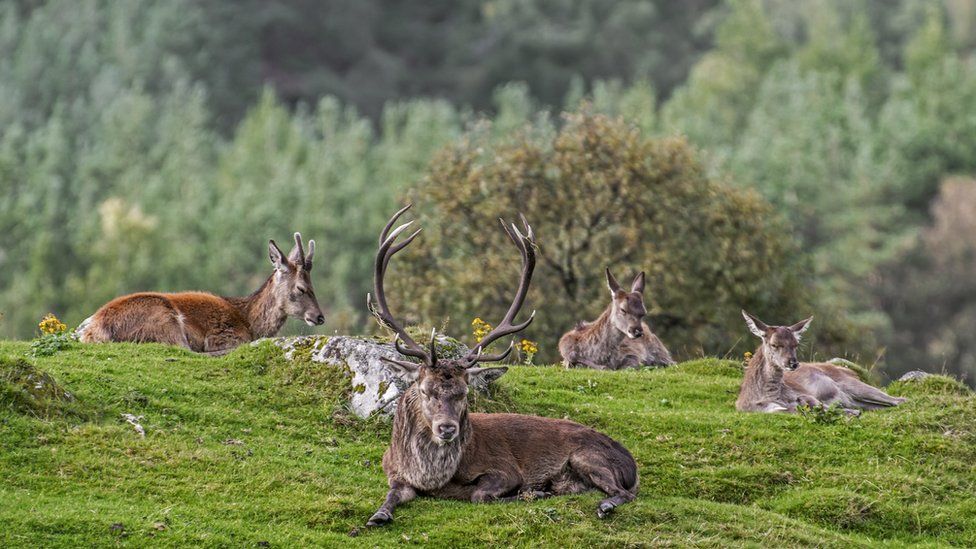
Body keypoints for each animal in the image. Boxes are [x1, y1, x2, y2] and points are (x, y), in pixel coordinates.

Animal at [77, 233, 324, 355]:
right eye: (301, 288)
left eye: (313, 285)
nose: (320, 316)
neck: (251, 323)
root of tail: (95, 331)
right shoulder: (223, 336)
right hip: (164, 318)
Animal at [364, 205, 639, 527]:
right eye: (424, 390)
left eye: (464, 393)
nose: (447, 428)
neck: (431, 479)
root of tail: (632, 465)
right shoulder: (393, 471)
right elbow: (391, 495)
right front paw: (378, 515)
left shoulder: (504, 469)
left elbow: (479, 494)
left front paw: (532, 492)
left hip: (587, 456)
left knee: (624, 492)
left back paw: (599, 503)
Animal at [737, 310, 906, 414]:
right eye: (774, 344)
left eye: (795, 344)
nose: (793, 363)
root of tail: (851, 371)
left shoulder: (806, 395)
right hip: (854, 399)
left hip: (852, 384)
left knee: (900, 399)